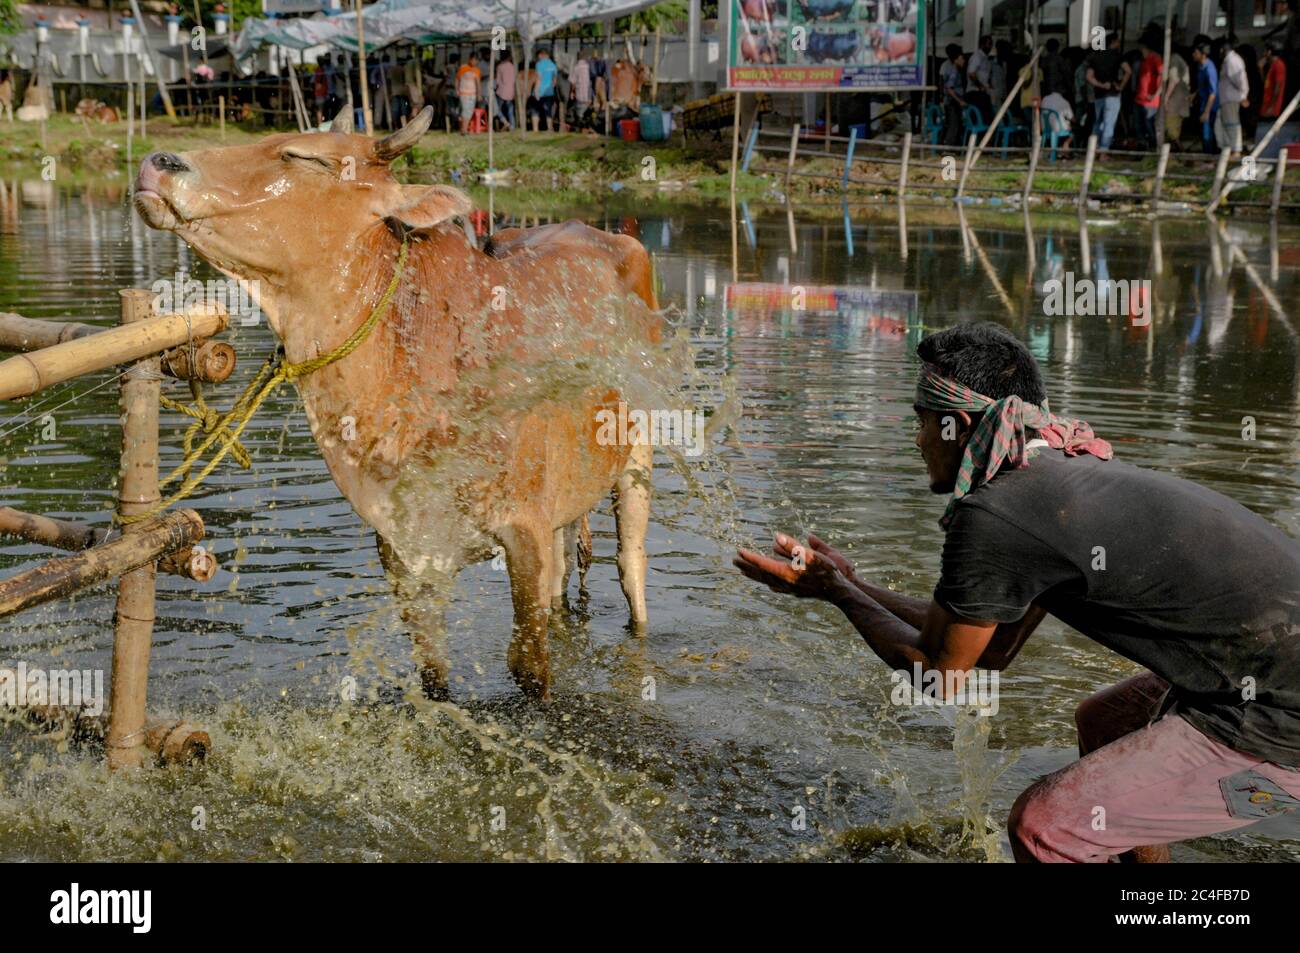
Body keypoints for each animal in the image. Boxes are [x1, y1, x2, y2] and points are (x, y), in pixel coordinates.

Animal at [133, 106, 662, 700]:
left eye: (307, 157)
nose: (159, 161)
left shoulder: (523, 531)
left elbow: (529, 668)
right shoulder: (403, 545)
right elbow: (432, 674)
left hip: (639, 454)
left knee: (631, 567)